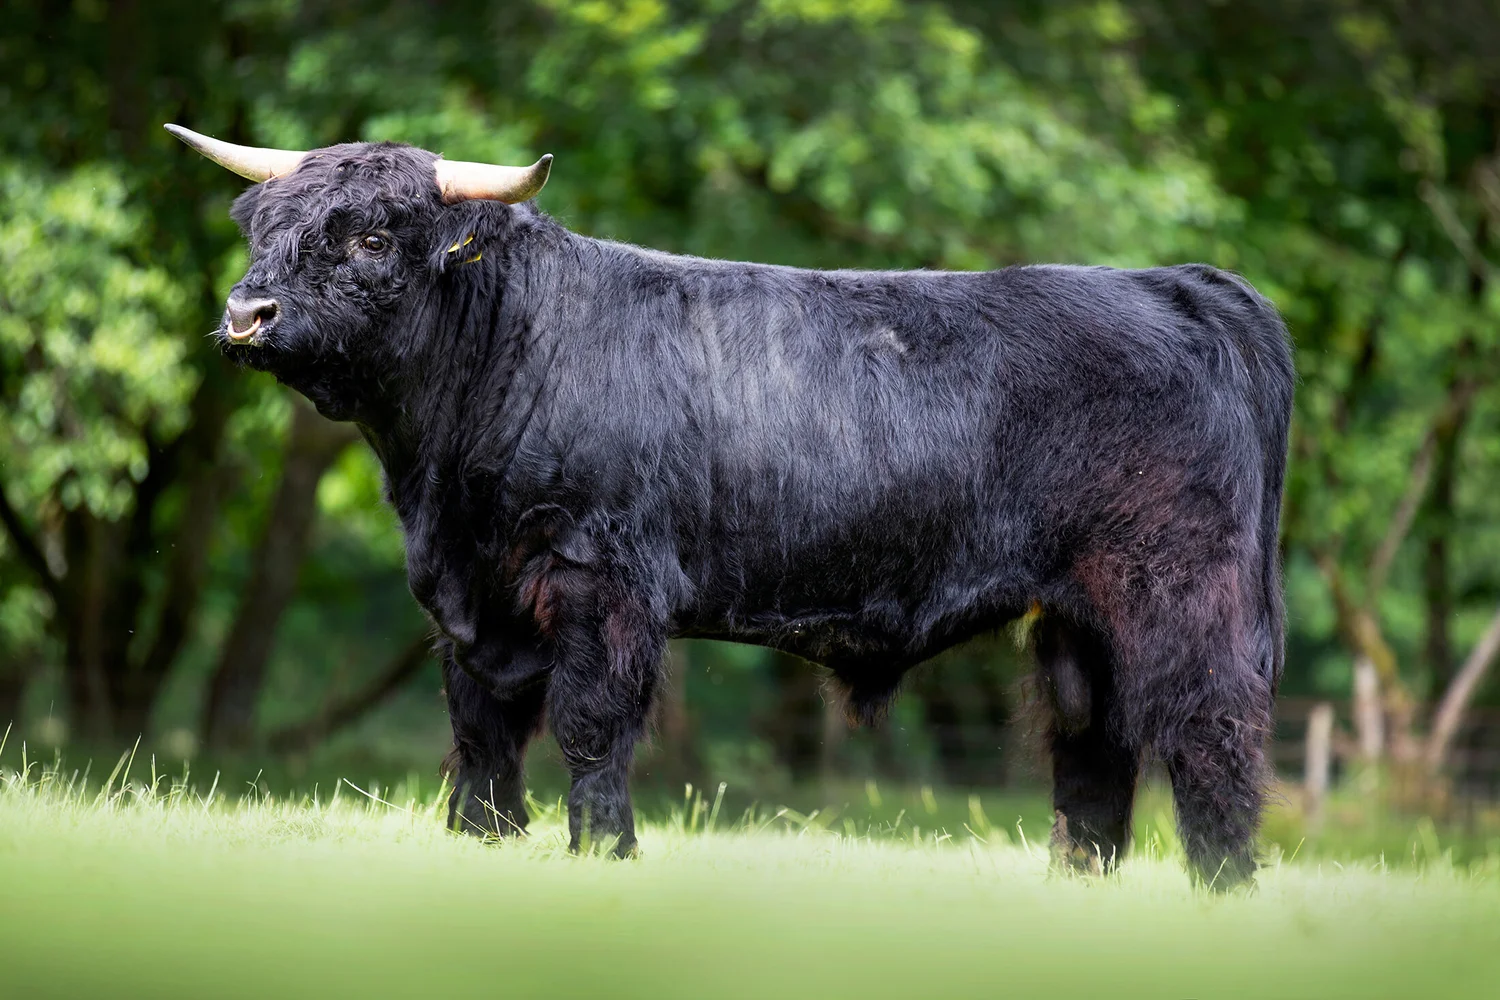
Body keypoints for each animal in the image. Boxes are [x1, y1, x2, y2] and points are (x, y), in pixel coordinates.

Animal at [168, 123, 1293, 889]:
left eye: (371, 236)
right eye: (261, 226)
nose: (246, 313)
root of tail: (1176, 285)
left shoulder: (599, 577)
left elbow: (589, 724)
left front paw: (604, 853)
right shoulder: (474, 602)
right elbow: (482, 731)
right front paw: (479, 844)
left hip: (1178, 588)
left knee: (1212, 729)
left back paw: (1221, 890)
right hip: (1076, 618)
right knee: (1093, 747)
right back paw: (1078, 891)